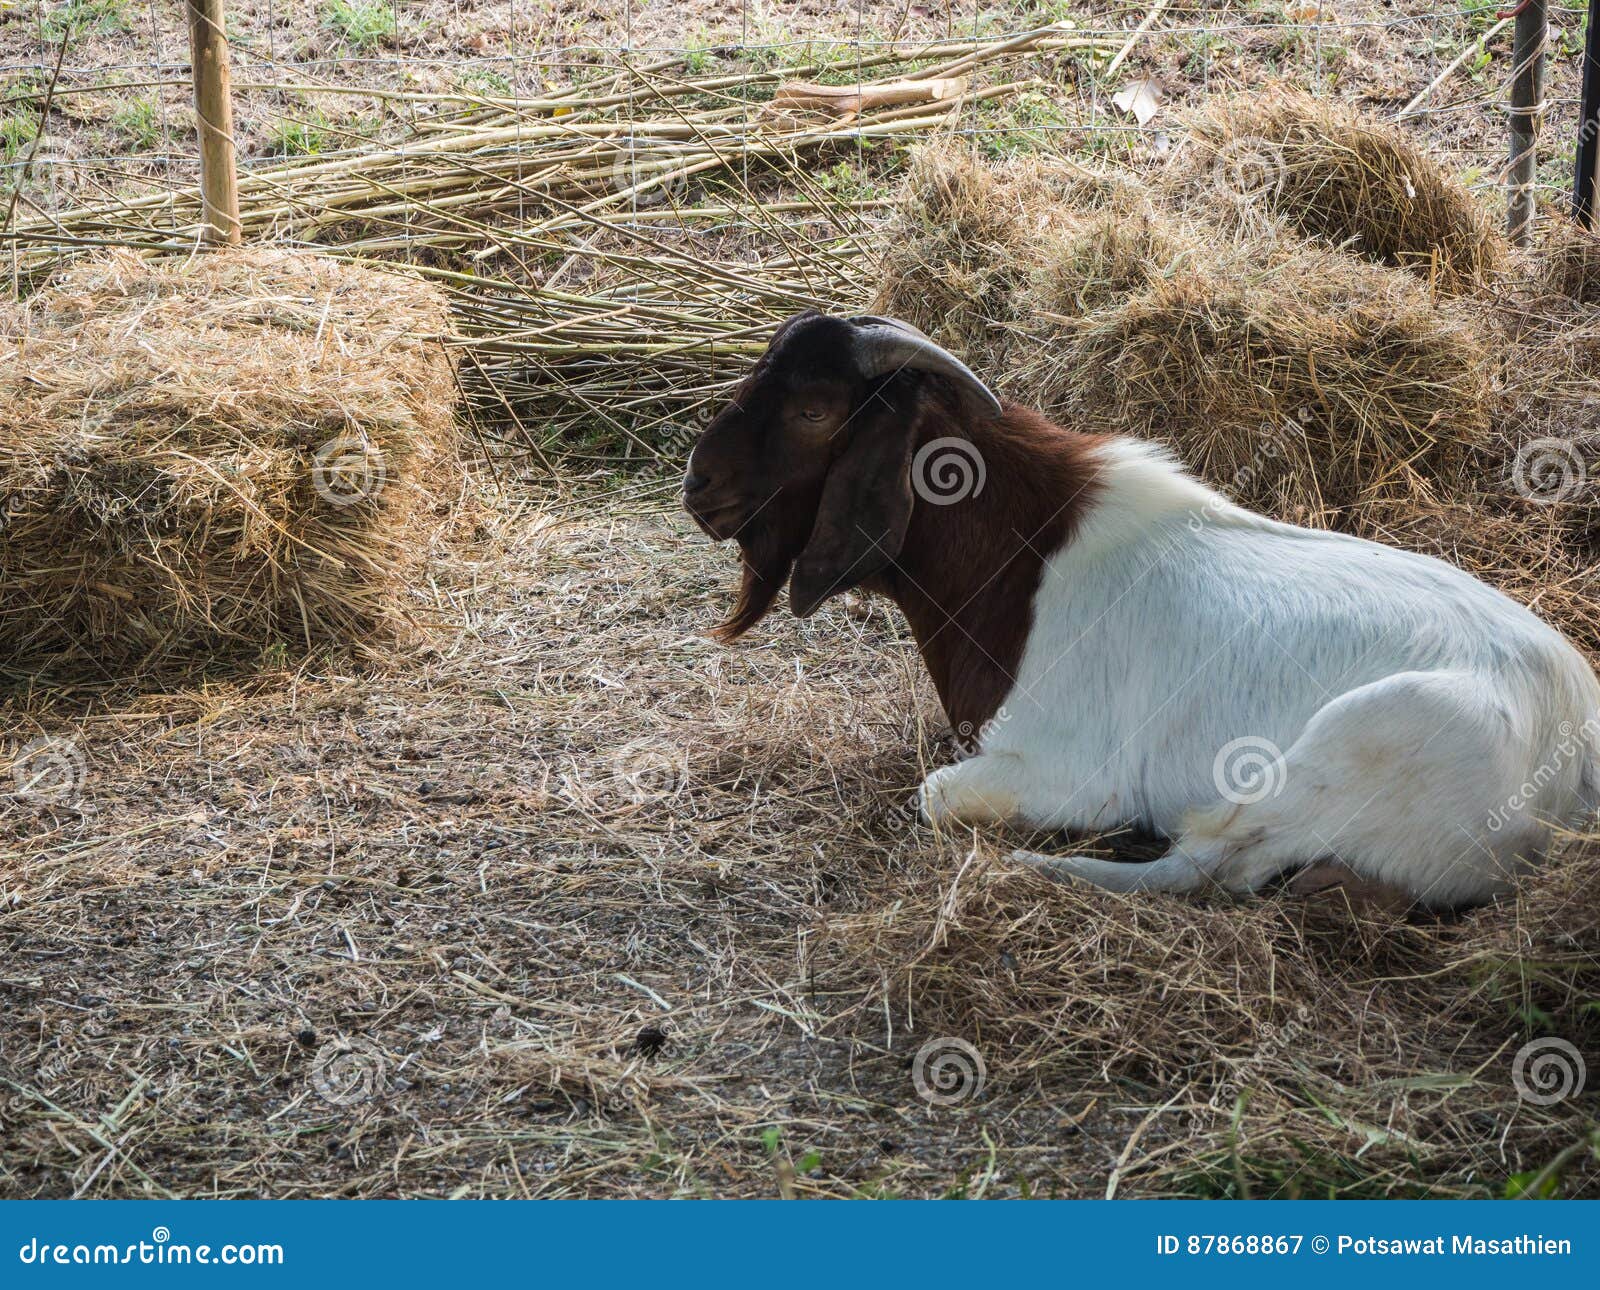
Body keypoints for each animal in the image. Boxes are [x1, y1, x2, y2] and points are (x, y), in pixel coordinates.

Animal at [683, 311, 1600, 910]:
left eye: (812, 410)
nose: (698, 485)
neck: (1024, 559)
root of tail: (1572, 752)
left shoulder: (1068, 769)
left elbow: (936, 793)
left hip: (1365, 740)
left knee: (1211, 868)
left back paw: (1054, 871)